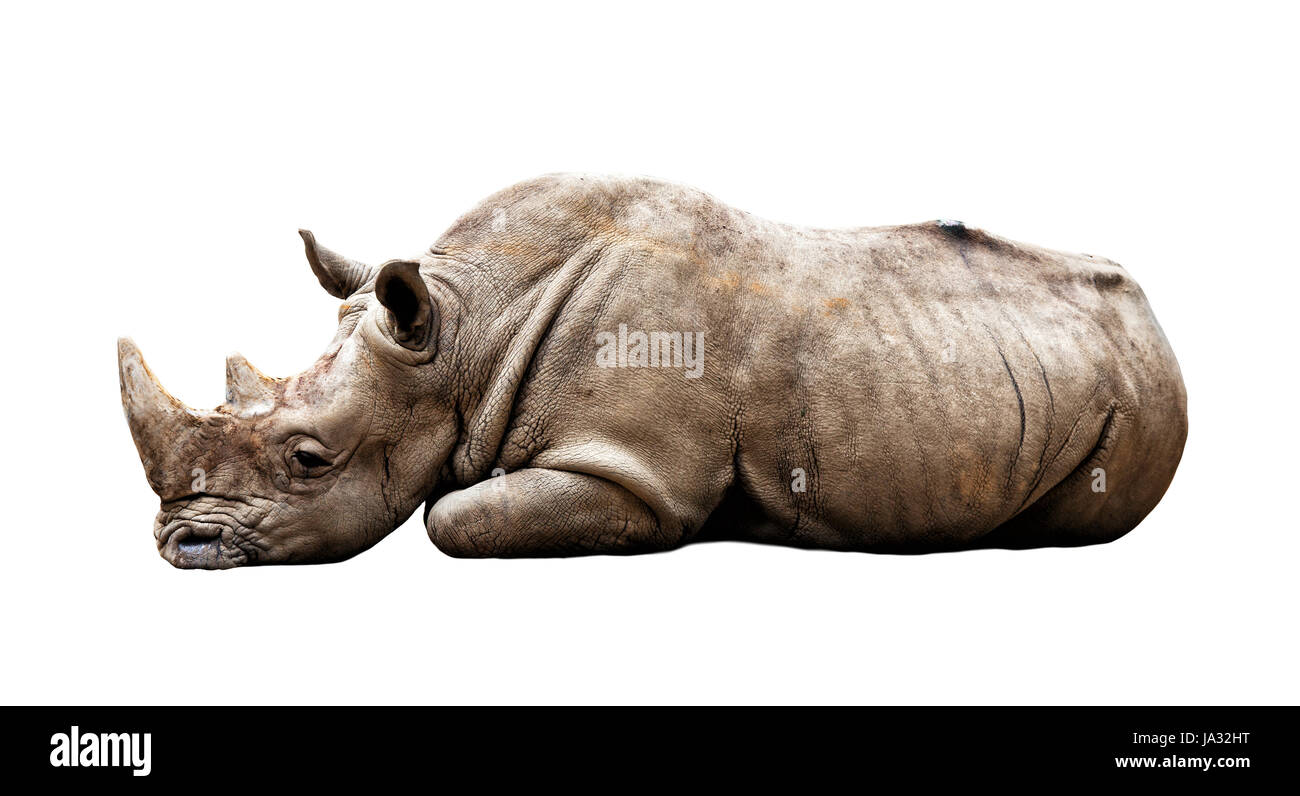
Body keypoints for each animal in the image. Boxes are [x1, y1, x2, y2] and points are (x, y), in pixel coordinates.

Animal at [119, 174, 1187, 568]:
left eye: (309, 459)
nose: (179, 547)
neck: (460, 335)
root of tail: (1155, 321)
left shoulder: (633, 472)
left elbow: (450, 519)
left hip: (1137, 392)